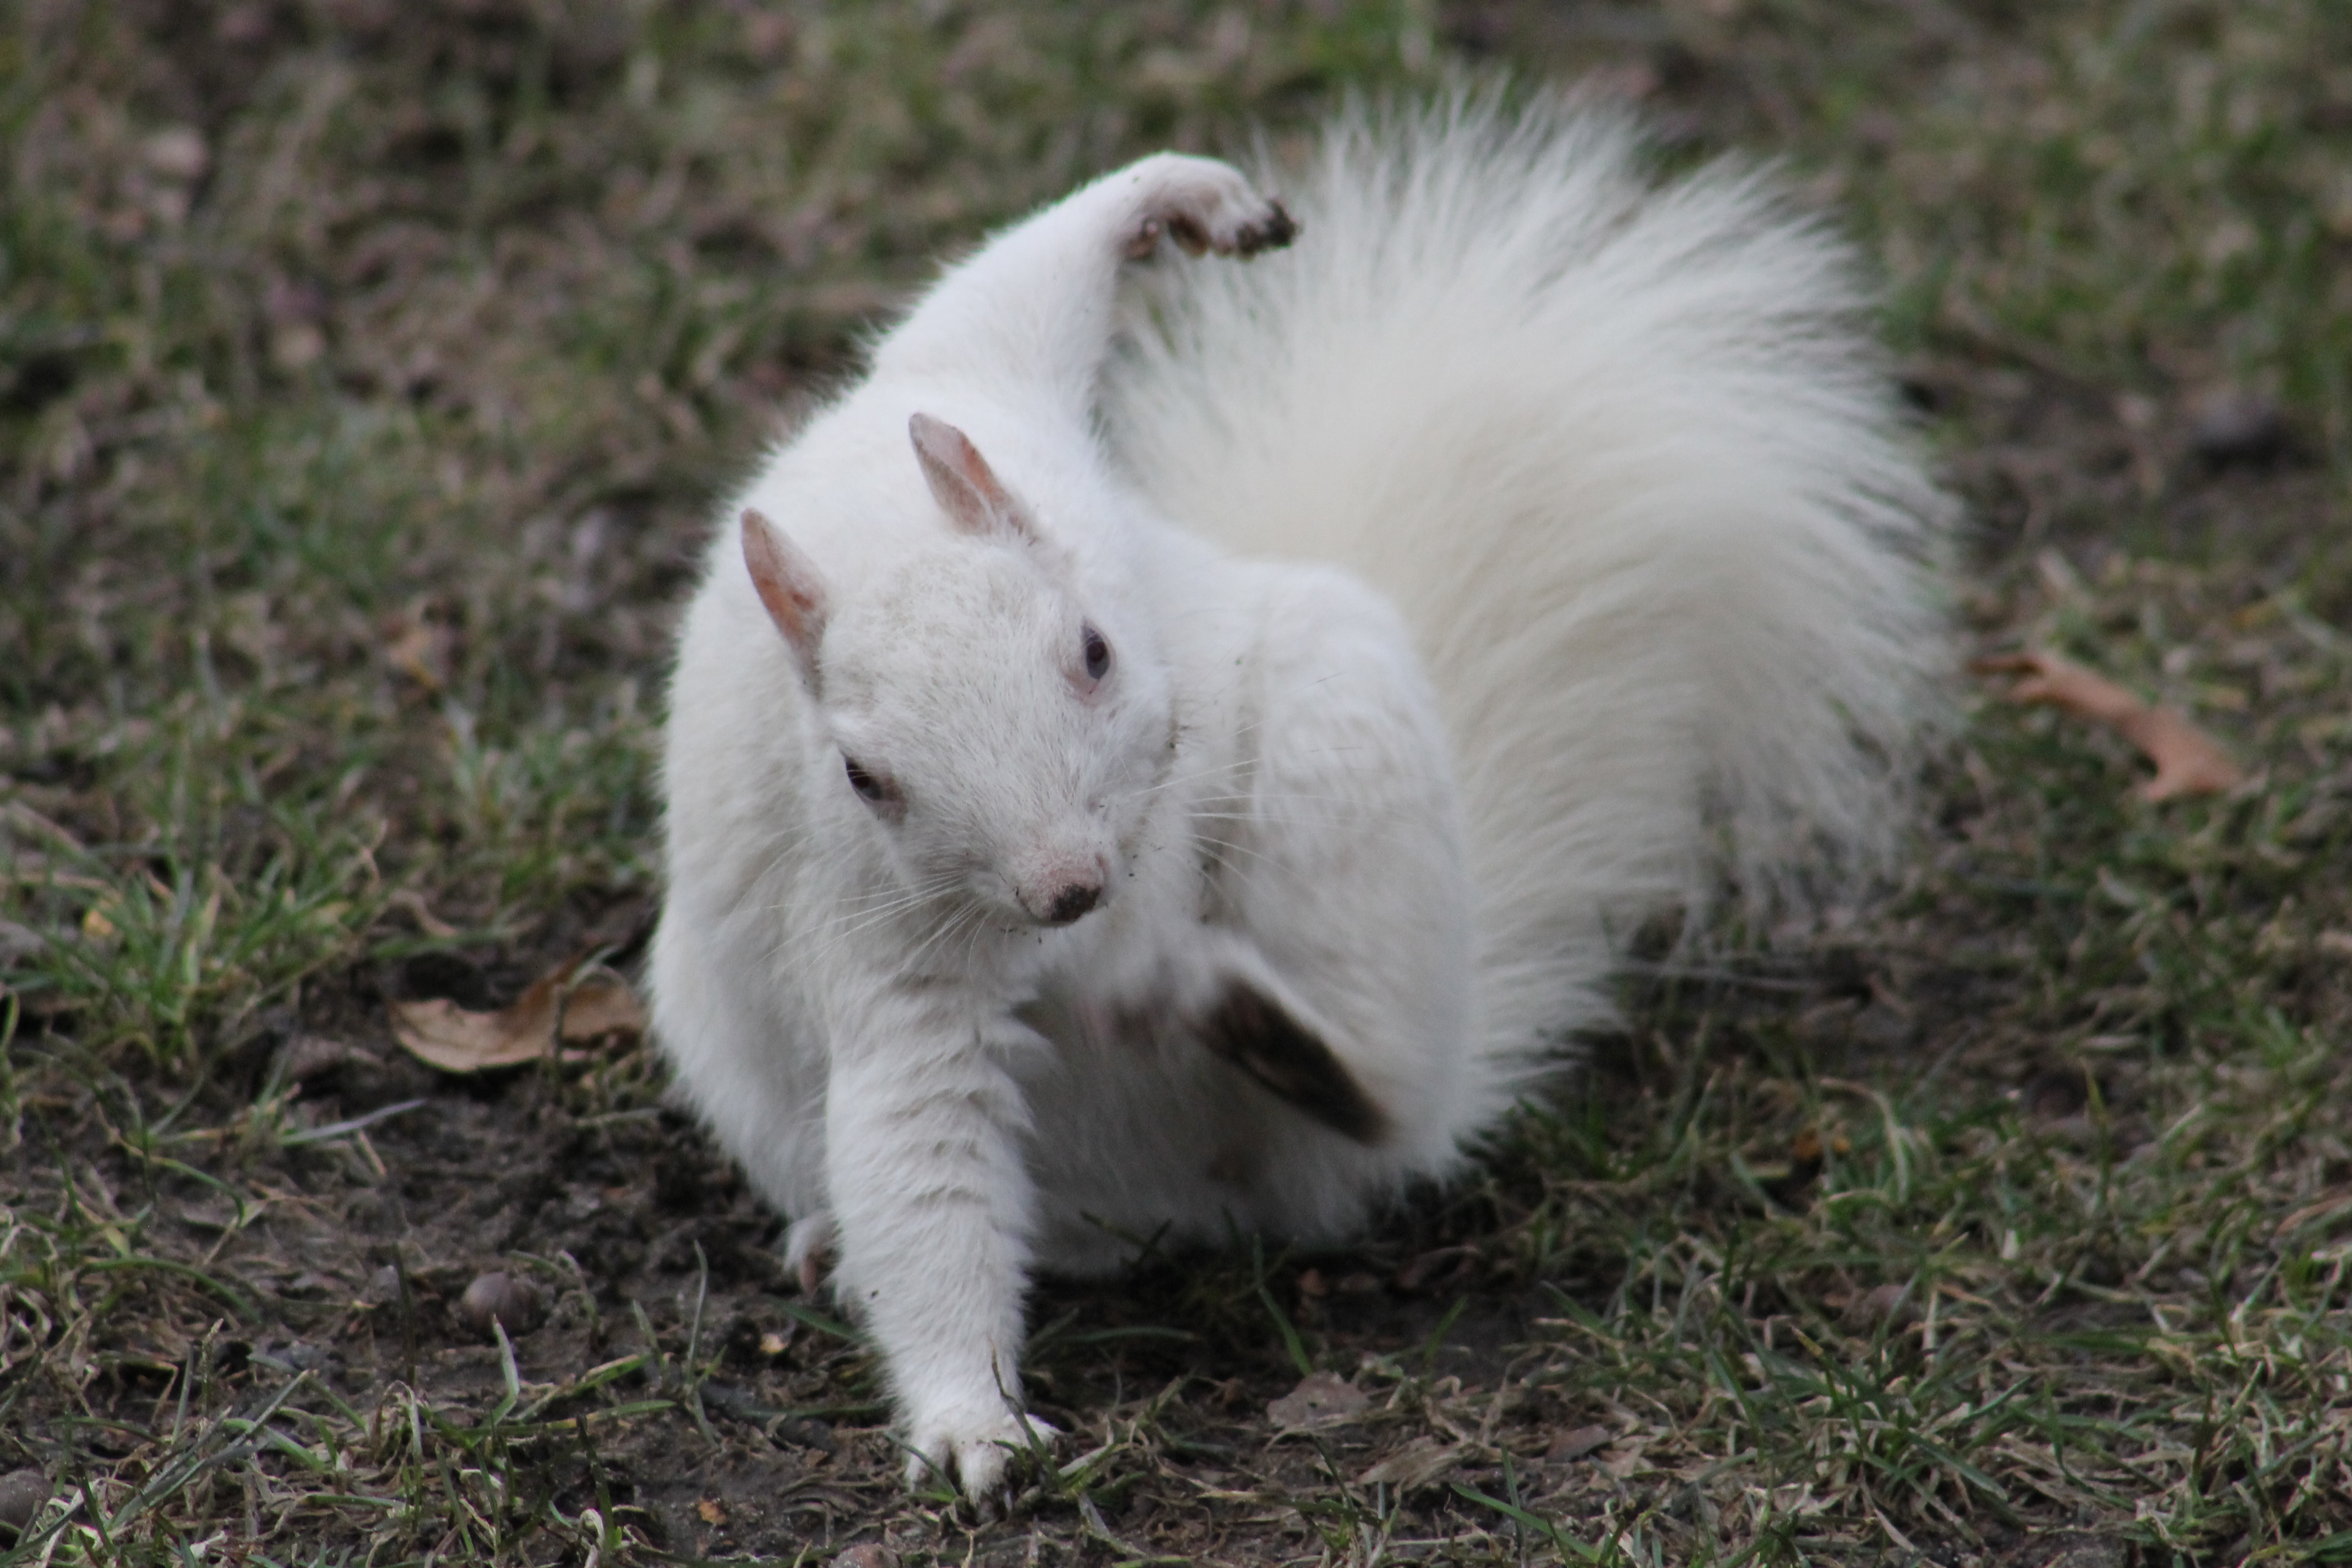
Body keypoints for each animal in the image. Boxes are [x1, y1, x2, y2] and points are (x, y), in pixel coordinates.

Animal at [650, 94, 1948, 1501]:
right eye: (864, 777)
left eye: (1095, 649)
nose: (1069, 887)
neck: (876, 525)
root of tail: (1175, 1198)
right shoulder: (897, 958)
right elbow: (918, 1153)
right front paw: (970, 1419)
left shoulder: (972, 383)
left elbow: (1013, 280)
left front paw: (1182, 201)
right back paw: (846, 1232)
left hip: (1344, 731)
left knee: (1383, 1088)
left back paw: (1273, 1030)